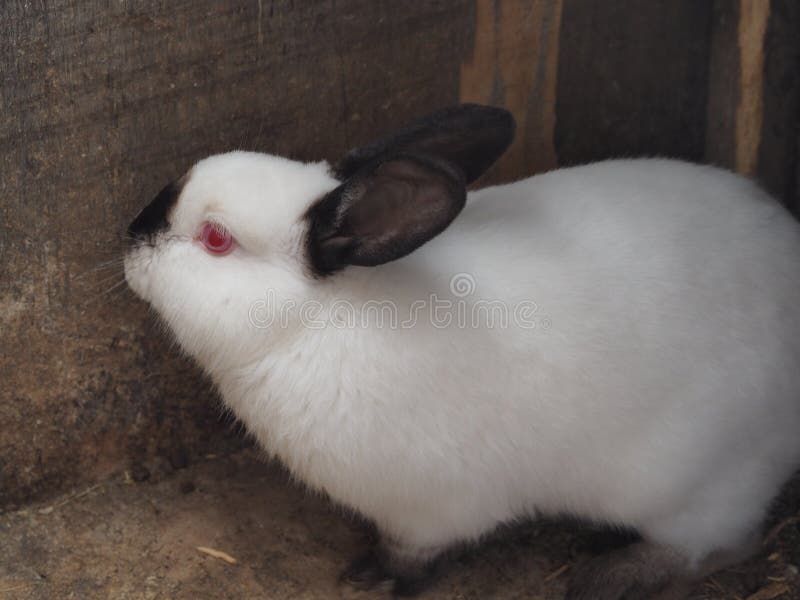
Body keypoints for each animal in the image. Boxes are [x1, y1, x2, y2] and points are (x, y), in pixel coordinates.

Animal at [124, 104, 800, 599]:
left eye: (215, 239)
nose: (130, 237)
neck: (325, 315)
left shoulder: (427, 509)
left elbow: (414, 552)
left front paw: (374, 578)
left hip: (698, 480)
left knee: (715, 543)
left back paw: (609, 576)